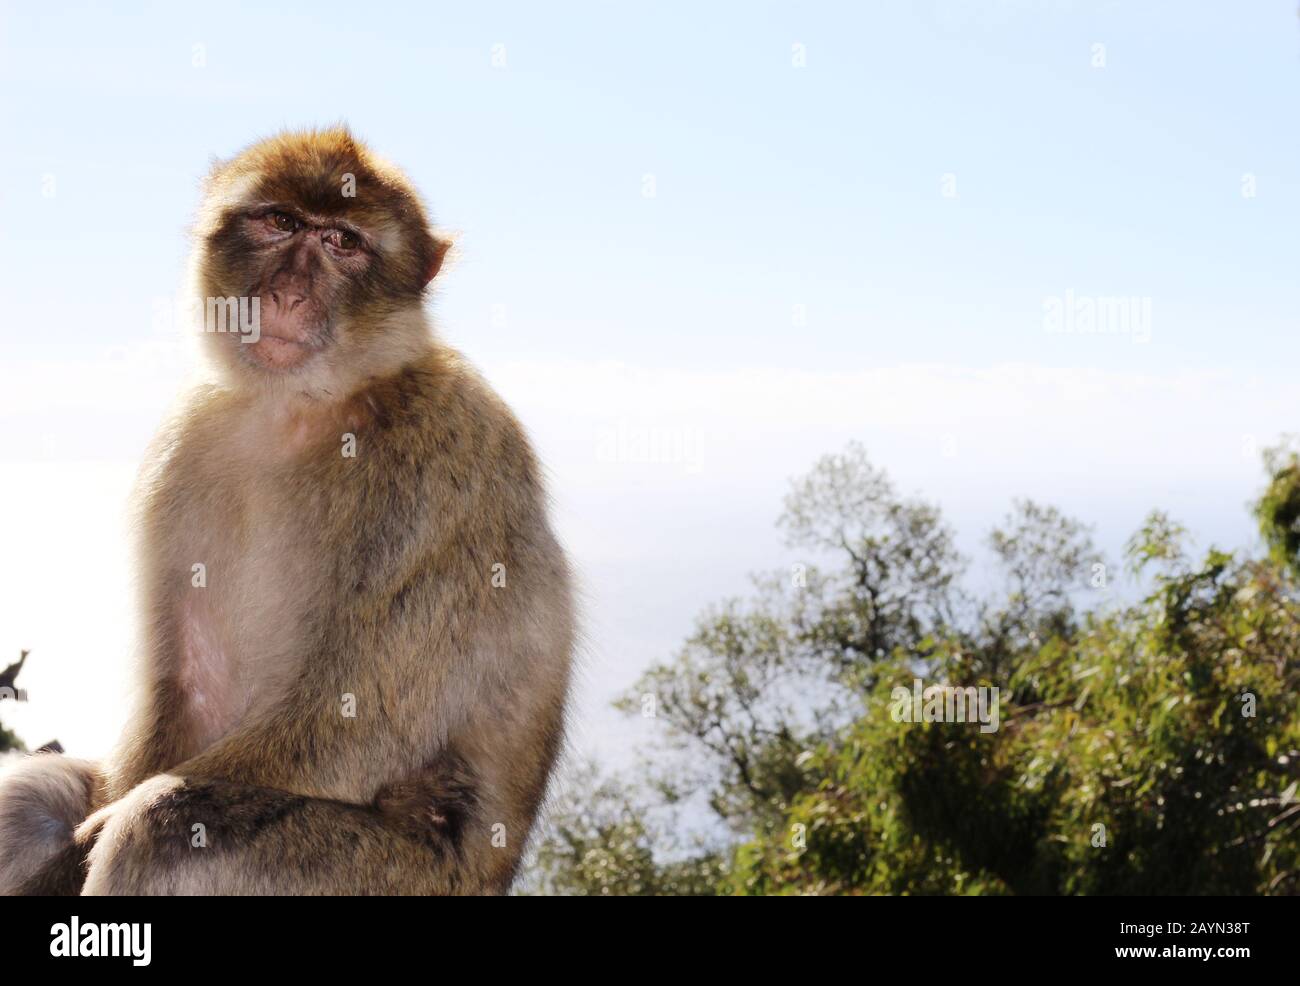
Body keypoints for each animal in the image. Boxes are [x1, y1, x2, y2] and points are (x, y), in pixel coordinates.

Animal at [0, 126, 575, 895]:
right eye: (280, 222)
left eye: (341, 242)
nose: (289, 294)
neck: (301, 409)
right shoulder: (187, 439)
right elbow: (192, 692)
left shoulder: (446, 458)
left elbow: (353, 721)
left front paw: (84, 844)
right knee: (32, 800)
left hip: (381, 878)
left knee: (168, 827)